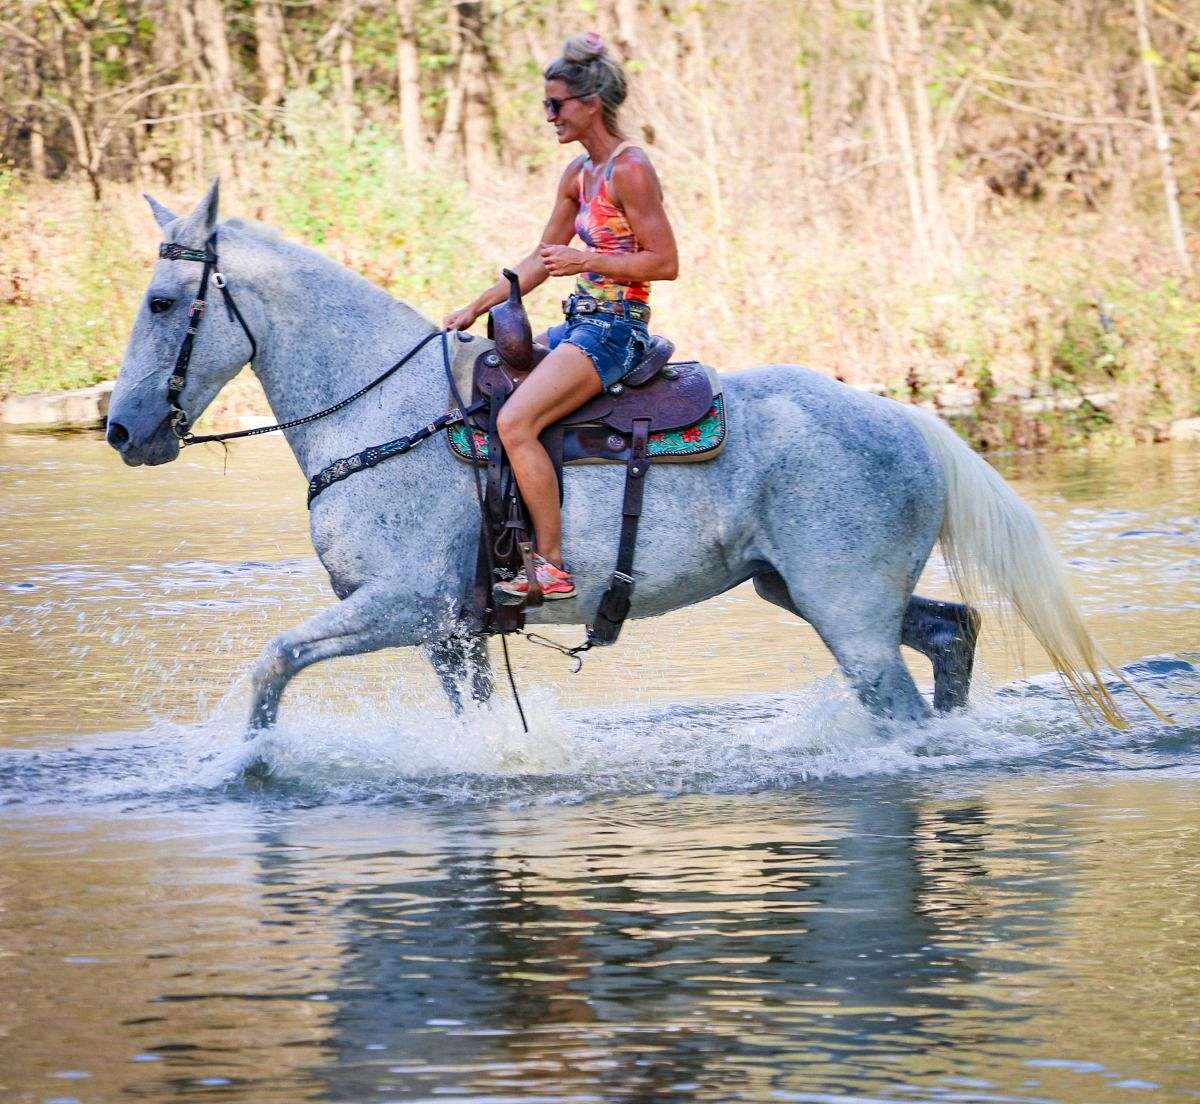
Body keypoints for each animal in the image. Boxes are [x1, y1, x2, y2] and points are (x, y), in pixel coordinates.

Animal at [106, 180, 1138, 737]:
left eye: (161, 302)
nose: (121, 430)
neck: (384, 413)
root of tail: (909, 420)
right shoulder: (450, 635)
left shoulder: (406, 605)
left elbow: (274, 662)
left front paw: (247, 760)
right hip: (799, 591)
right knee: (954, 630)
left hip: (847, 616)